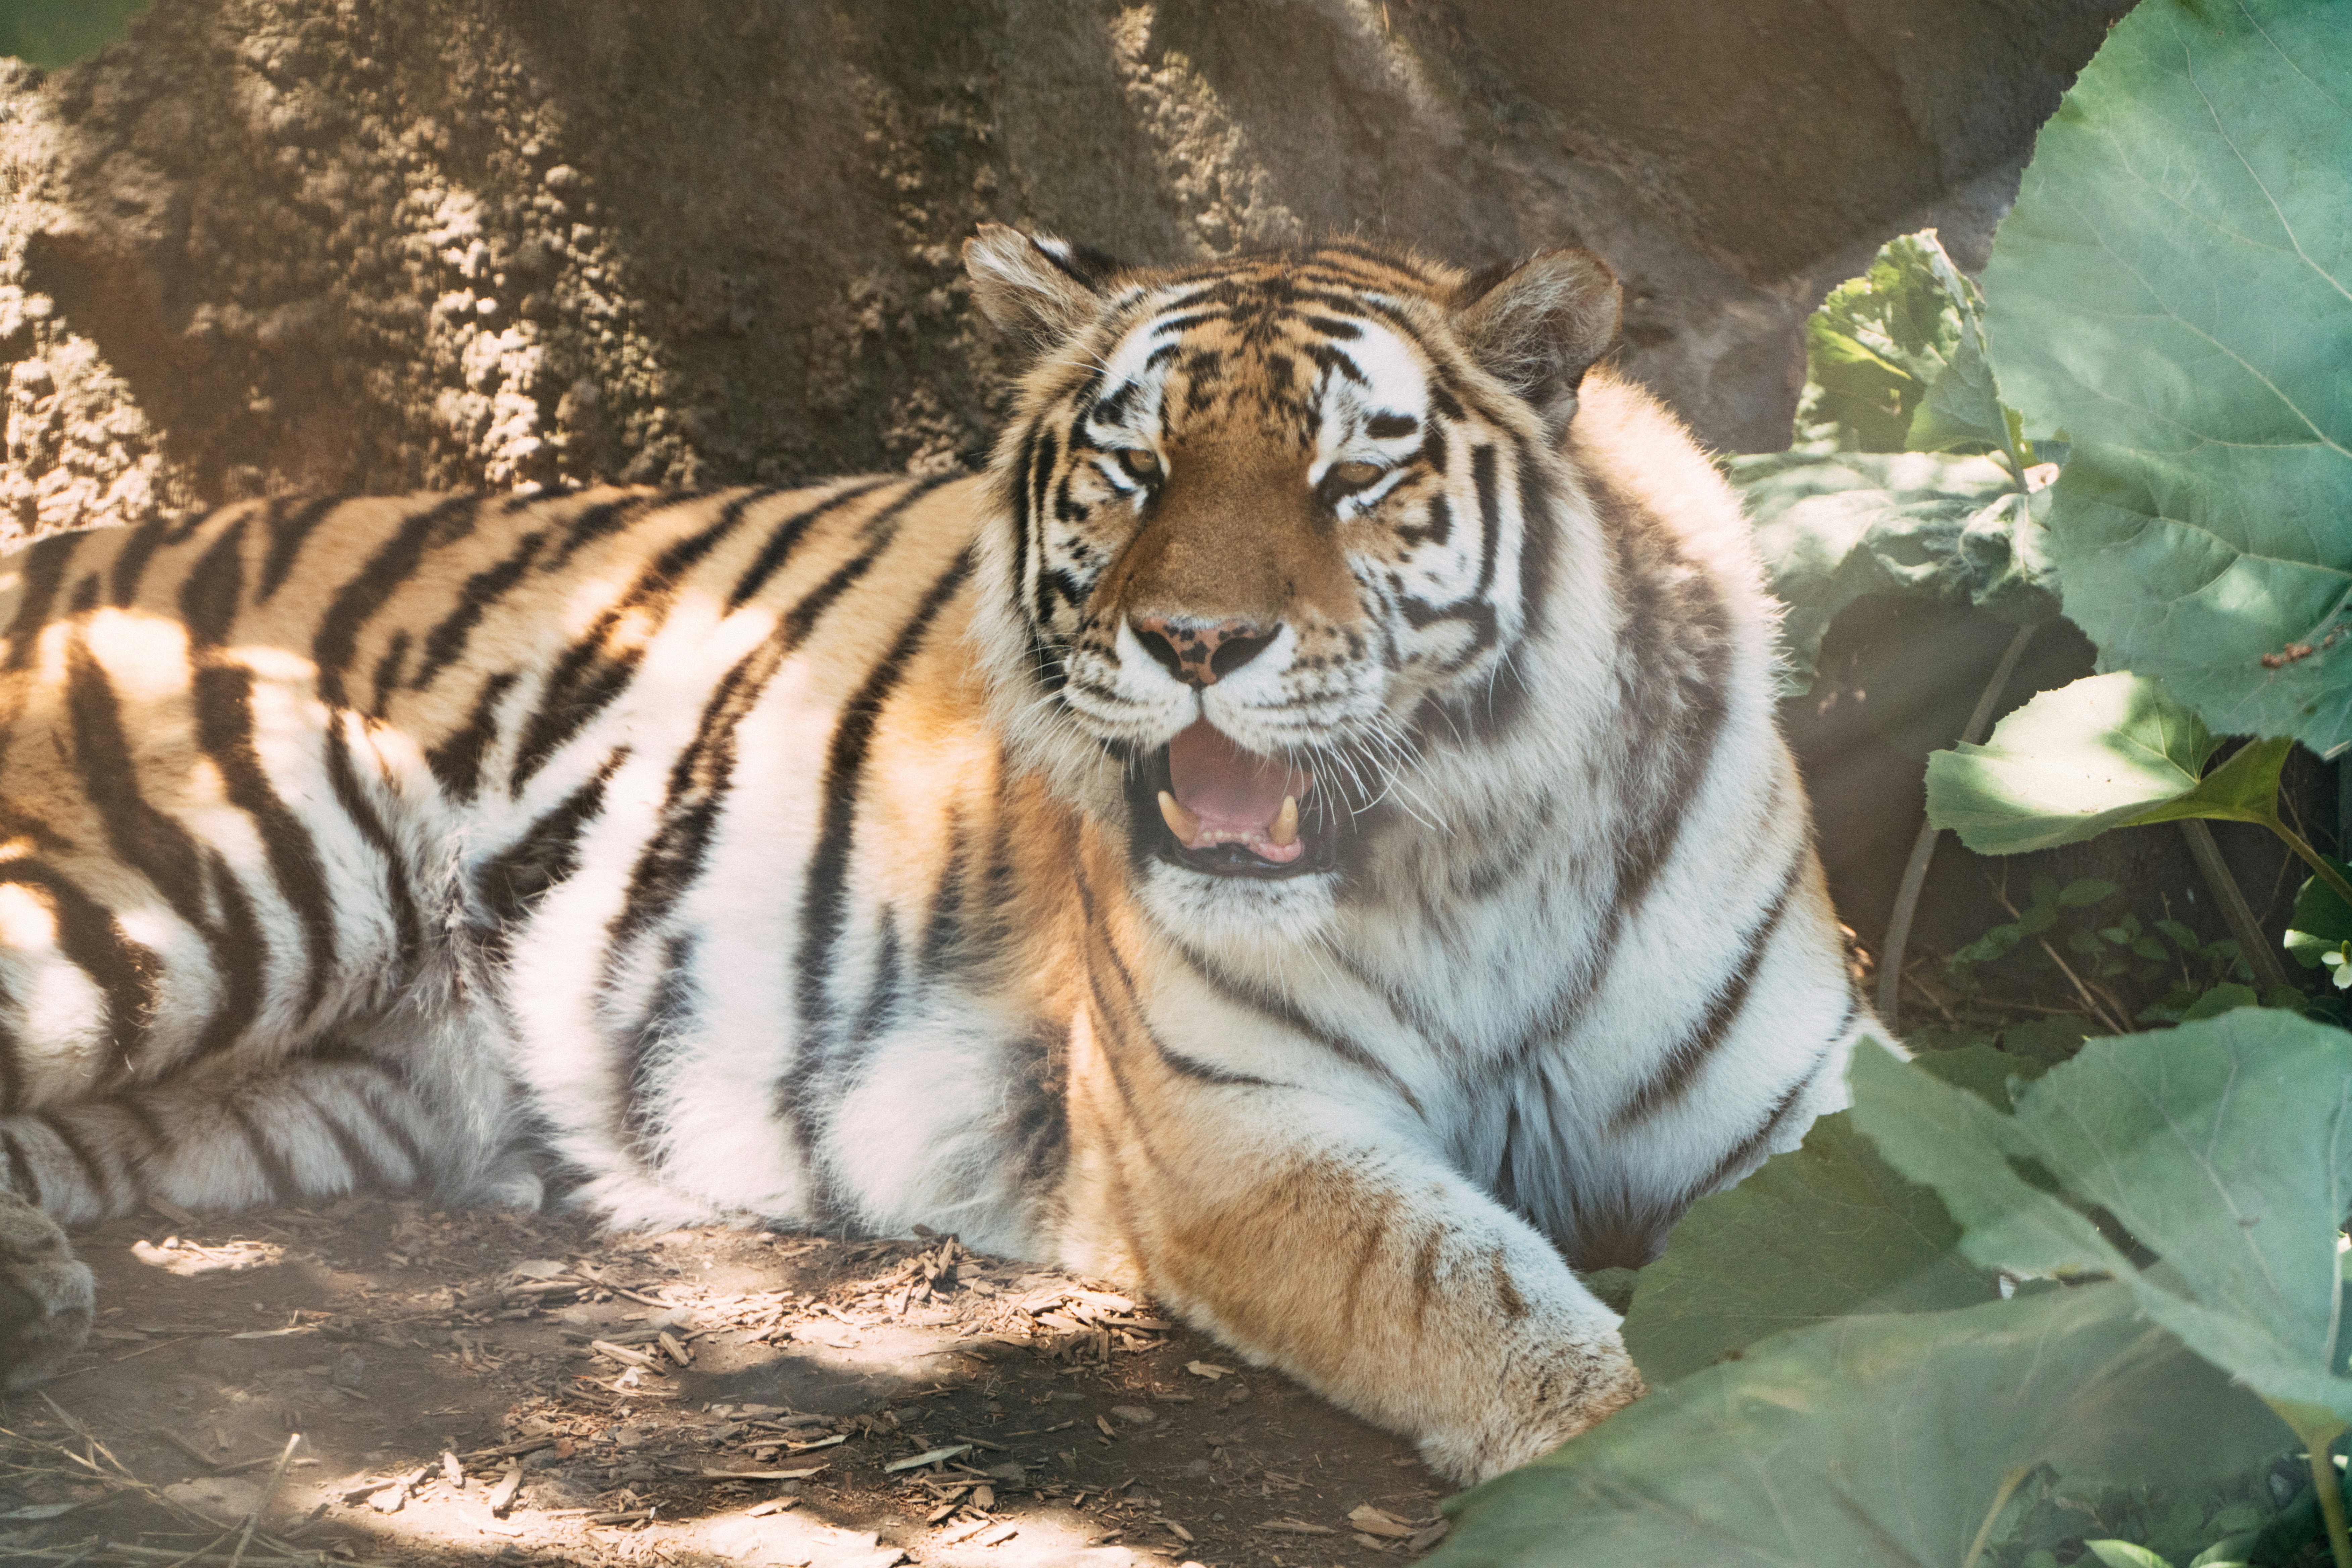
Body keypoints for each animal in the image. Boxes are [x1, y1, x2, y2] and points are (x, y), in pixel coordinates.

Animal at [0, 225, 1873, 1483]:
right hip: (250, 851)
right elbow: (1472, 1290)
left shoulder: (1813, 1106)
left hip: (302, 1092)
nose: (1199, 643)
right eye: (1133, 467)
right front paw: (1653, 1444)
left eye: (1352, 476)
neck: (1474, 846)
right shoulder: (1241, 1126)